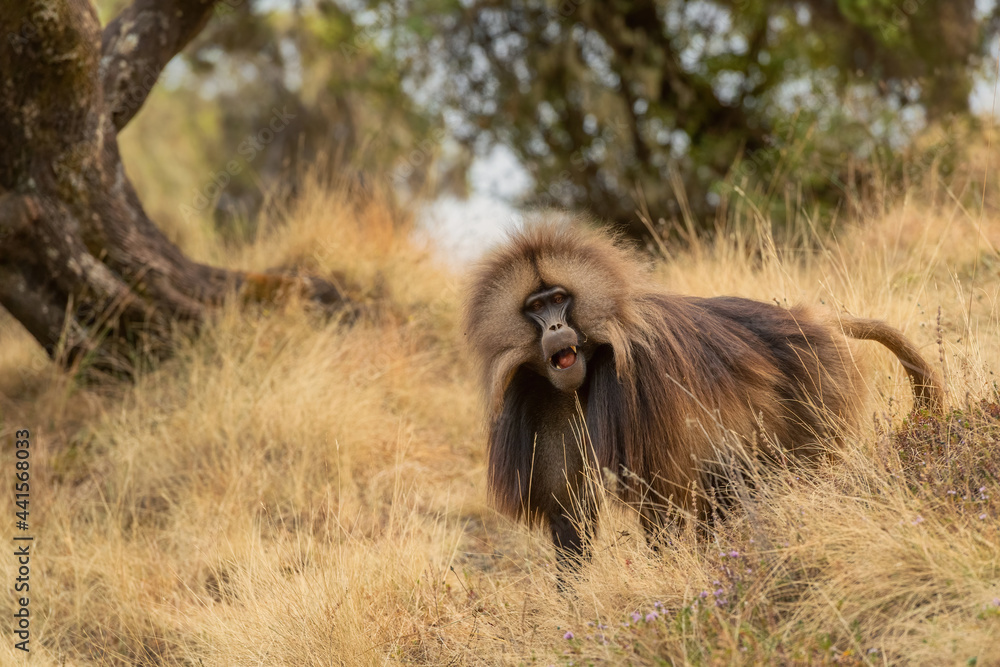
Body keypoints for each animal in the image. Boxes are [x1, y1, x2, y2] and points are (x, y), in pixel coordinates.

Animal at [464, 221, 942, 572]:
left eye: (560, 298)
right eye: (535, 307)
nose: (555, 329)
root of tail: (808, 319)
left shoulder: (639, 384)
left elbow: (664, 495)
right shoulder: (545, 404)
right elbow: (569, 514)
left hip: (818, 393)